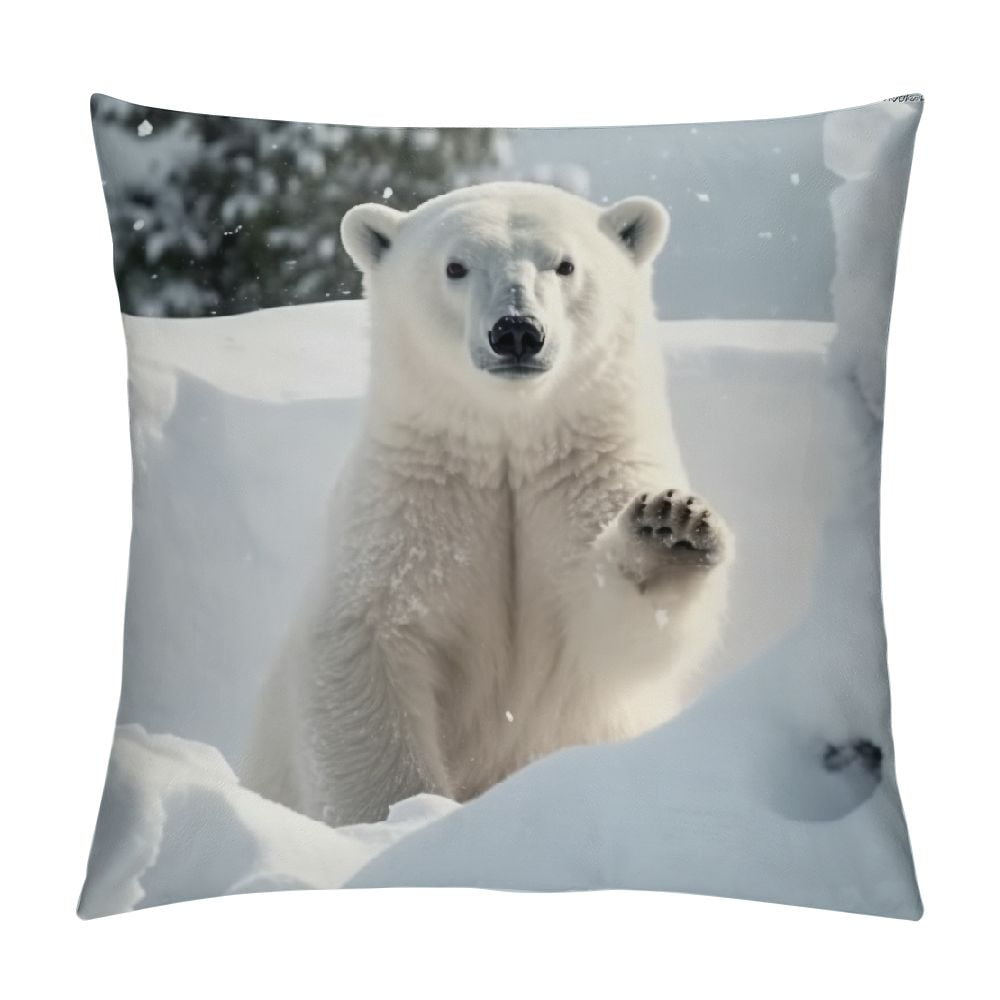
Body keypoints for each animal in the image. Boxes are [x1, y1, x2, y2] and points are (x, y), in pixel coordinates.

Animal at [241, 181, 733, 826]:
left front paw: (670, 529)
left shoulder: (589, 472)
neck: (509, 436)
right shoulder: (413, 504)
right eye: (456, 266)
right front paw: (406, 815)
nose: (517, 331)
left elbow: (618, 636)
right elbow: (366, 643)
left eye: (564, 264)